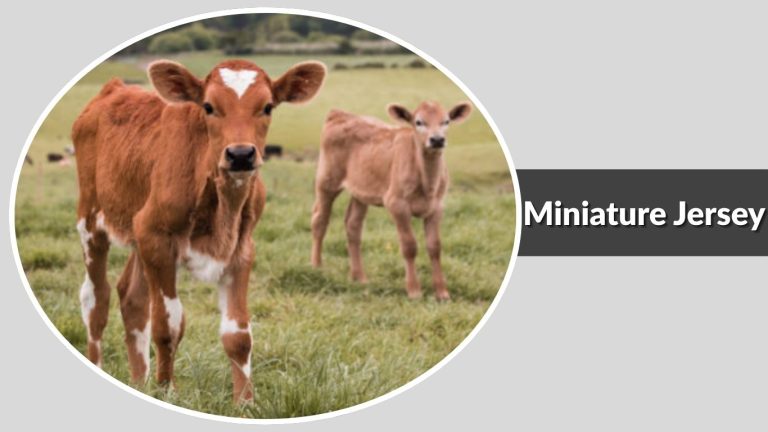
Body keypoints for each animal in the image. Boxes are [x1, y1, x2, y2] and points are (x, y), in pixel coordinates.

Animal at [71, 59, 326, 402]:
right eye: (208, 106)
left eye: (267, 106)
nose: (241, 154)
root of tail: (114, 88)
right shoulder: (157, 239)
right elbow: (168, 325)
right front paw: (166, 390)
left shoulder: (241, 249)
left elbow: (238, 334)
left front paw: (245, 402)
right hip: (92, 220)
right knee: (96, 300)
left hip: (138, 232)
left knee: (132, 298)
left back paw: (139, 382)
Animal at [310, 101, 472, 300]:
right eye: (419, 122)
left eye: (446, 121)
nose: (437, 140)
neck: (427, 183)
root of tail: (341, 114)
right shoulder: (397, 204)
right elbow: (409, 246)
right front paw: (414, 290)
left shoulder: (437, 207)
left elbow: (435, 247)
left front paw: (442, 293)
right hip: (326, 180)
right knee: (320, 220)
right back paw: (316, 267)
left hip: (361, 190)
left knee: (353, 225)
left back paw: (359, 277)